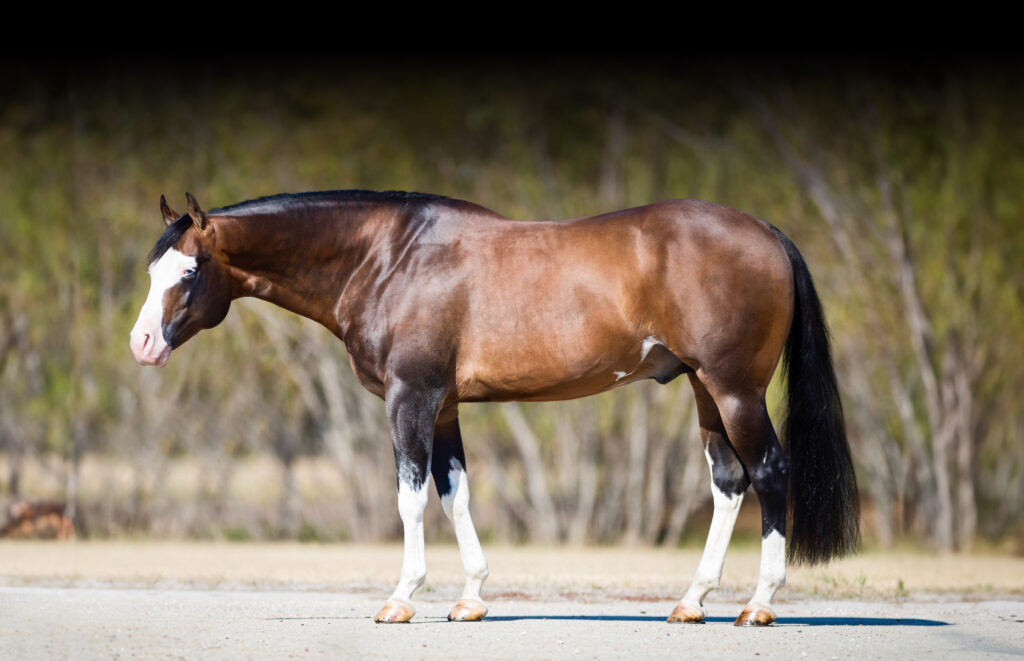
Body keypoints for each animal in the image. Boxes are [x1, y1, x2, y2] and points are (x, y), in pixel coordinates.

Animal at [130, 190, 858, 626]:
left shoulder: (412, 397)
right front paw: (472, 597)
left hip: (735, 390)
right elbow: (454, 493)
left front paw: (402, 597)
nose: (141, 344)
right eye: (152, 271)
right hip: (706, 390)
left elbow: (411, 497)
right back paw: (691, 601)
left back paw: (759, 604)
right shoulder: (445, 405)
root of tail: (765, 231)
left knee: (769, 474)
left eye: (190, 272)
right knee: (729, 481)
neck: (388, 257)